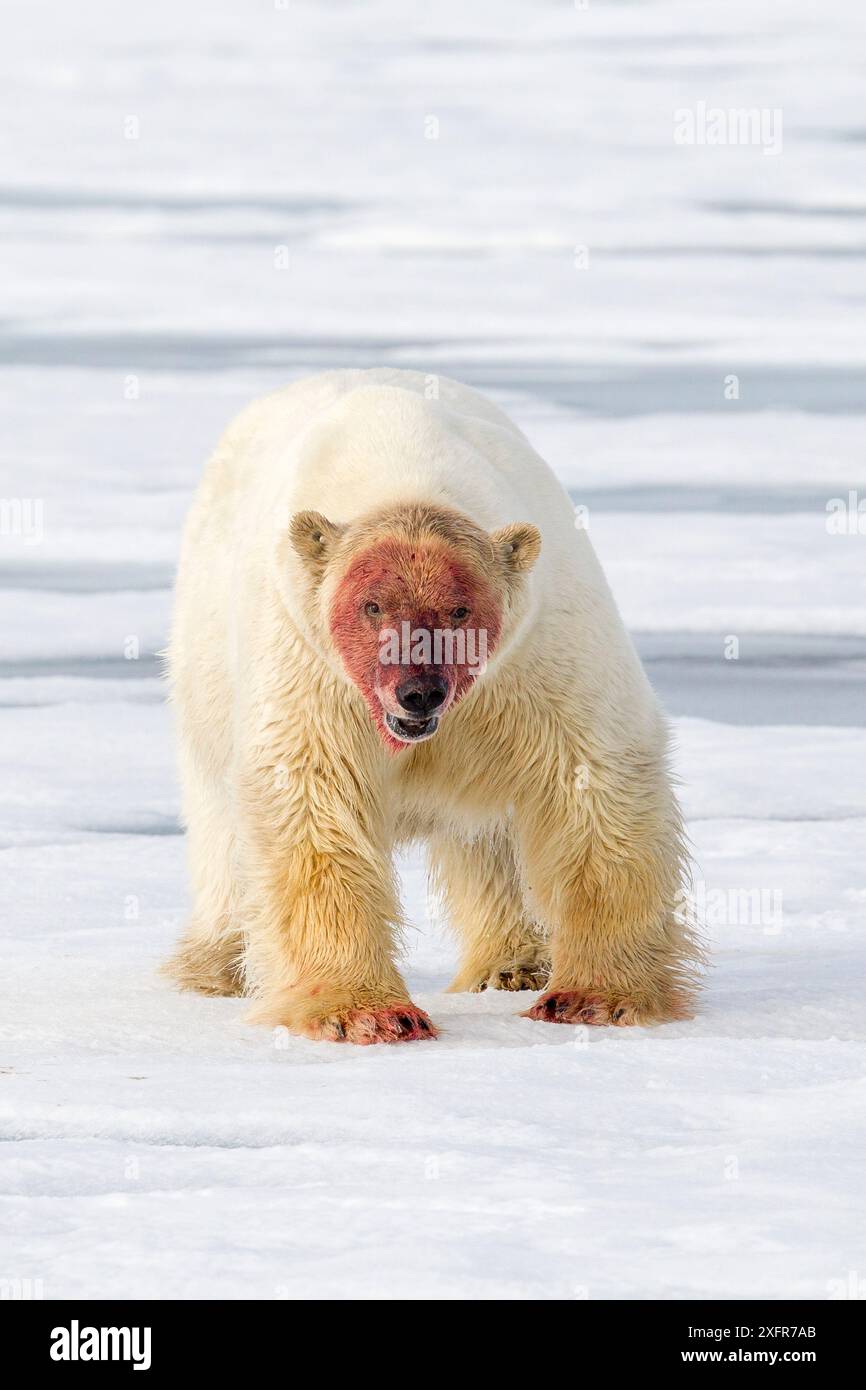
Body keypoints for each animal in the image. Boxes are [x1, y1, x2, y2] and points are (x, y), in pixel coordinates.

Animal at [164, 368, 700, 1043]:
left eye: (459, 609)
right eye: (372, 606)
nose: (418, 690)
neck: (402, 469)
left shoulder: (540, 645)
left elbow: (593, 778)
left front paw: (594, 997)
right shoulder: (308, 663)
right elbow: (312, 801)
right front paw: (366, 1013)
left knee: (490, 839)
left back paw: (513, 963)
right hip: (202, 668)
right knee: (217, 821)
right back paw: (217, 965)